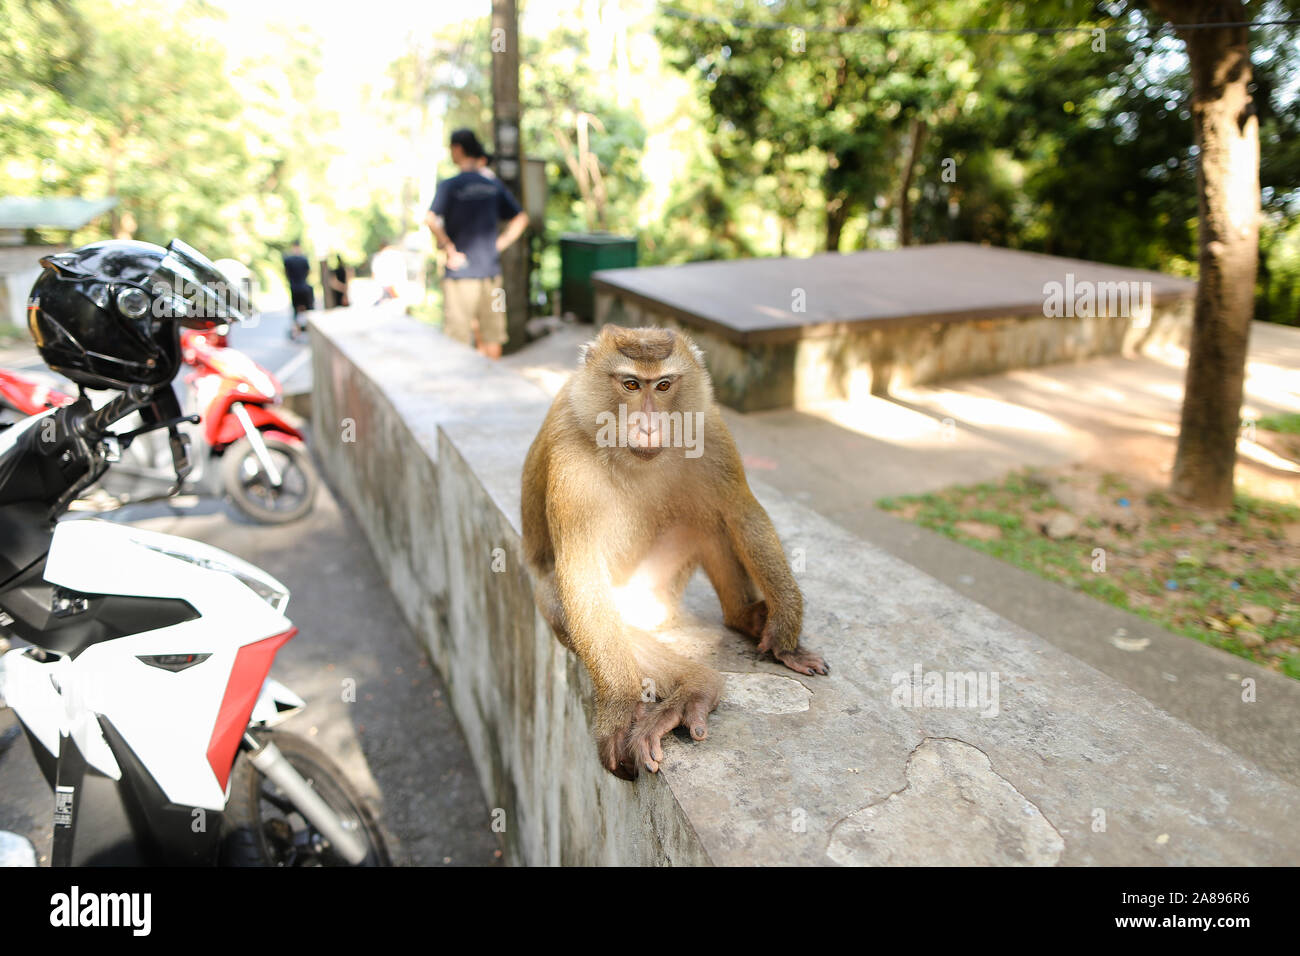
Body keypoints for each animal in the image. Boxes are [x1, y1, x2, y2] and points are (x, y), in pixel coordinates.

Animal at [521, 325, 828, 780]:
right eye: (631, 384)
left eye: (663, 385)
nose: (649, 424)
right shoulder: (568, 448)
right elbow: (581, 569)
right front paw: (619, 711)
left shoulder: (710, 425)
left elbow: (740, 510)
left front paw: (785, 624)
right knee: (574, 610)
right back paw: (695, 688)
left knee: (710, 518)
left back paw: (742, 621)